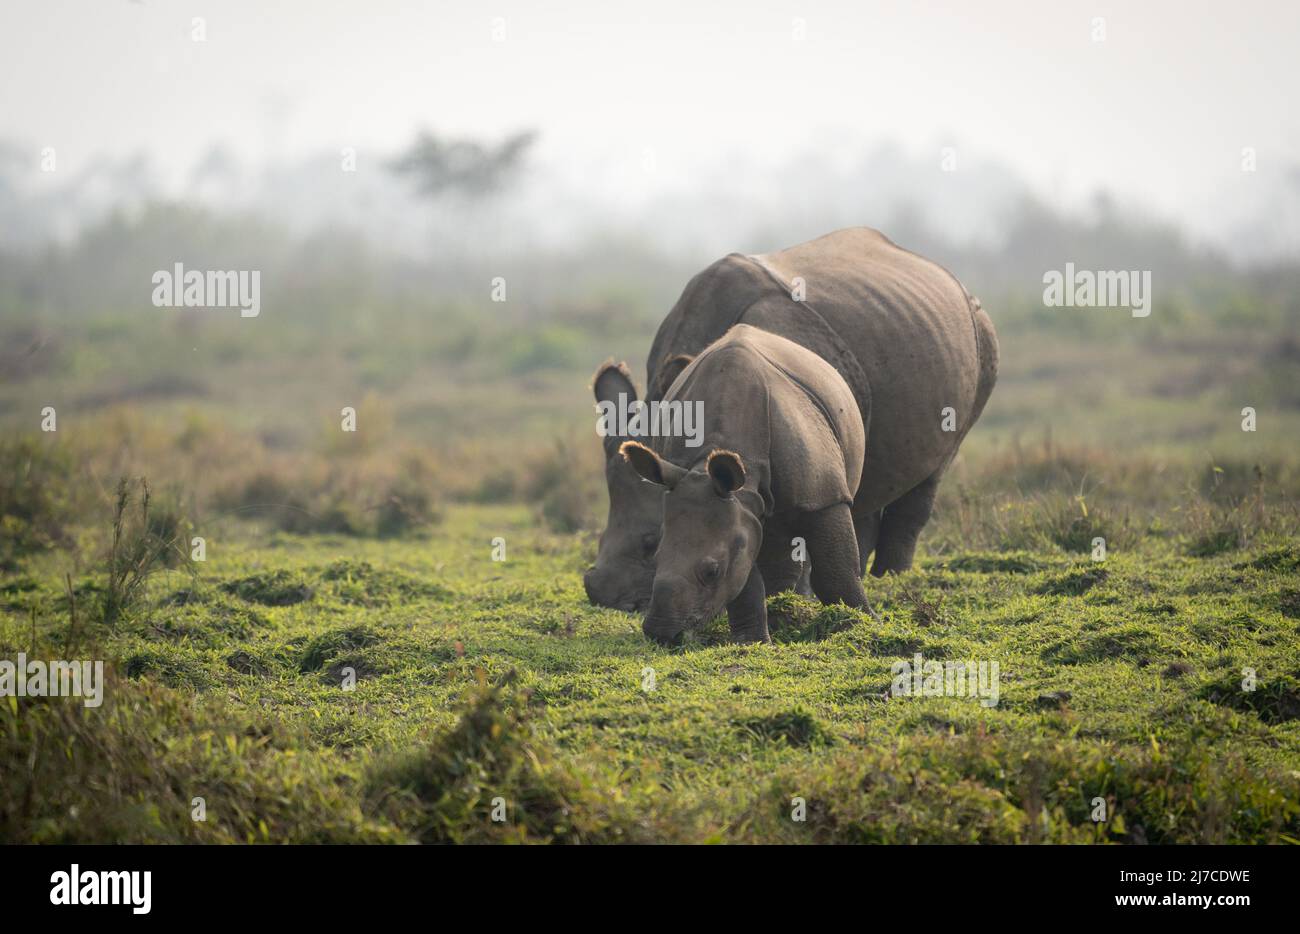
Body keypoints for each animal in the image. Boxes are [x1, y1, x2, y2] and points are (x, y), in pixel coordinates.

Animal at [621, 325, 867, 643]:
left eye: (711, 572)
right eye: (655, 556)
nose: (660, 632)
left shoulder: (822, 495)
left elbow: (836, 571)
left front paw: (860, 625)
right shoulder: (738, 506)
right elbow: (743, 580)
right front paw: (753, 643)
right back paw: (779, 618)